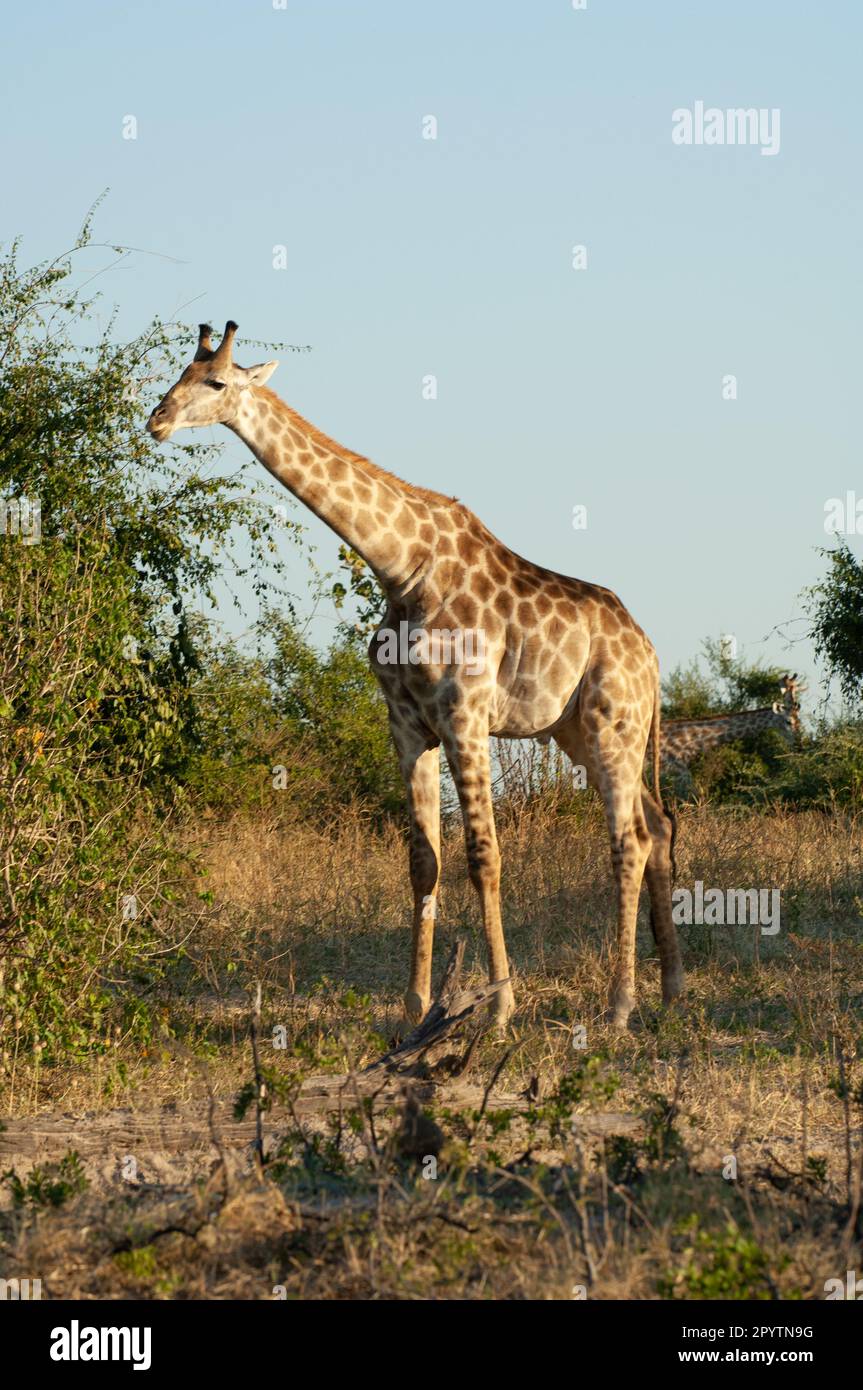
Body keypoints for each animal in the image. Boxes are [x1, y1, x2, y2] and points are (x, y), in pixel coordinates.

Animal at [147, 322, 684, 1029]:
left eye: (214, 382)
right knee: (658, 824)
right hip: (583, 733)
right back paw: (673, 989)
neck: (400, 567)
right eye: (177, 374)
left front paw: (499, 1007)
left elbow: (483, 856)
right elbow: (422, 862)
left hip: (610, 724)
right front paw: (414, 1007)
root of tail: (649, 654)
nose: (156, 420)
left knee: (629, 839)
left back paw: (619, 1007)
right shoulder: (406, 724)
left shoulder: (464, 715)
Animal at [659, 676, 802, 792]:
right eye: (788, 721)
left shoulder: (680, 774)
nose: (799, 747)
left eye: (799, 721)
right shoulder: (677, 774)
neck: (688, 743)